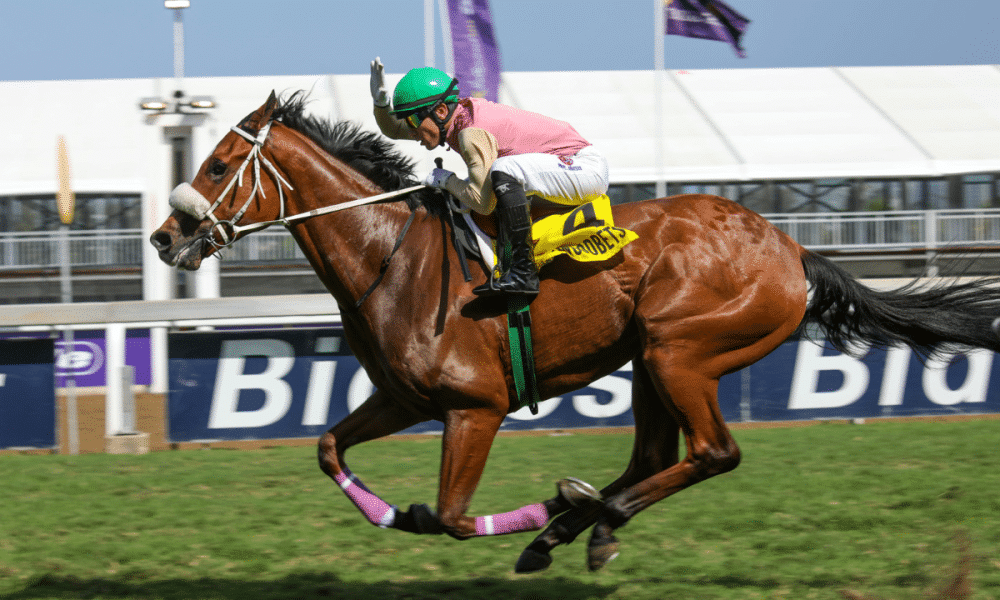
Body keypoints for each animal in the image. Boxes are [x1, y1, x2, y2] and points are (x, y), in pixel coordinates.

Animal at [151, 91, 1000, 573]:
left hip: (679, 349)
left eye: (220, 164)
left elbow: (451, 518)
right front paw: (400, 514)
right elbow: (329, 449)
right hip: (651, 364)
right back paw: (573, 523)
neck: (390, 257)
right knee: (656, 456)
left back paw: (584, 520)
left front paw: (516, 511)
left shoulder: (475, 407)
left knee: (713, 453)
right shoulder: (404, 399)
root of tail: (789, 250)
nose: (163, 239)